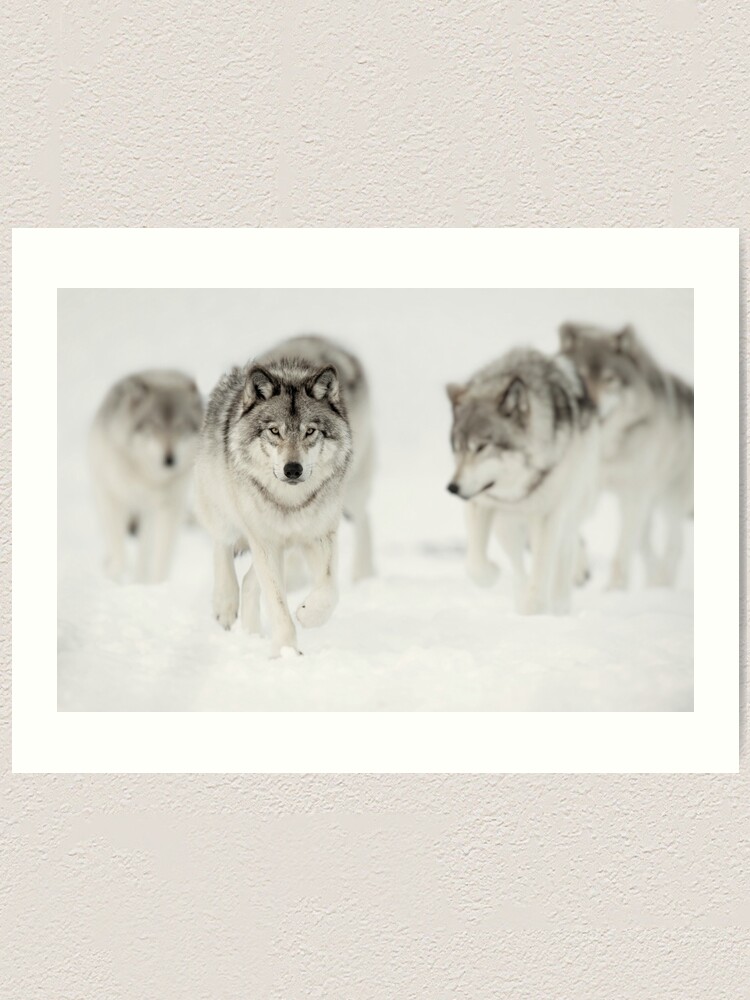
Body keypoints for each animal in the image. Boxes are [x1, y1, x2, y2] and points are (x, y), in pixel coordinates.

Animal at [89, 370, 204, 583]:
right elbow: (118, 546)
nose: (169, 460)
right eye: (154, 425)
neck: (148, 476)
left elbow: (155, 554)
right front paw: (116, 578)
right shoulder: (114, 499)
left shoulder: (161, 508)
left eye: (180, 426)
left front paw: (151, 583)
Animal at [194, 337, 358, 656]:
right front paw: (286, 652)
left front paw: (308, 614)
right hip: (225, 512)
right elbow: (278, 605)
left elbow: (330, 590)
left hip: (284, 547)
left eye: (310, 431)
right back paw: (225, 605)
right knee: (222, 547)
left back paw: (251, 634)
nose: (292, 469)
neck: (291, 502)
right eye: (274, 431)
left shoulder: (320, 535)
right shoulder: (265, 543)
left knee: (249, 582)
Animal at [446, 348, 599, 614]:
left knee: (565, 553)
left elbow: (543, 566)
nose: (452, 488)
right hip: (507, 525)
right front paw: (493, 574)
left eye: (481, 447)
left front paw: (536, 609)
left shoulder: (548, 515)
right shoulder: (481, 502)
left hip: (567, 513)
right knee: (518, 565)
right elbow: (474, 565)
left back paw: (559, 604)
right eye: (457, 448)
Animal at [558, 323, 694, 589]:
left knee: (674, 546)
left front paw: (614, 592)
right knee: (645, 548)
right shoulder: (577, 488)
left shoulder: (632, 496)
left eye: (609, 379)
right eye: (580, 375)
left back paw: (660, 586)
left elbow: (621, 555)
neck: (603, 449)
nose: (591, 405)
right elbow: (573, 532)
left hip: (668, 500)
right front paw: (578, 570)